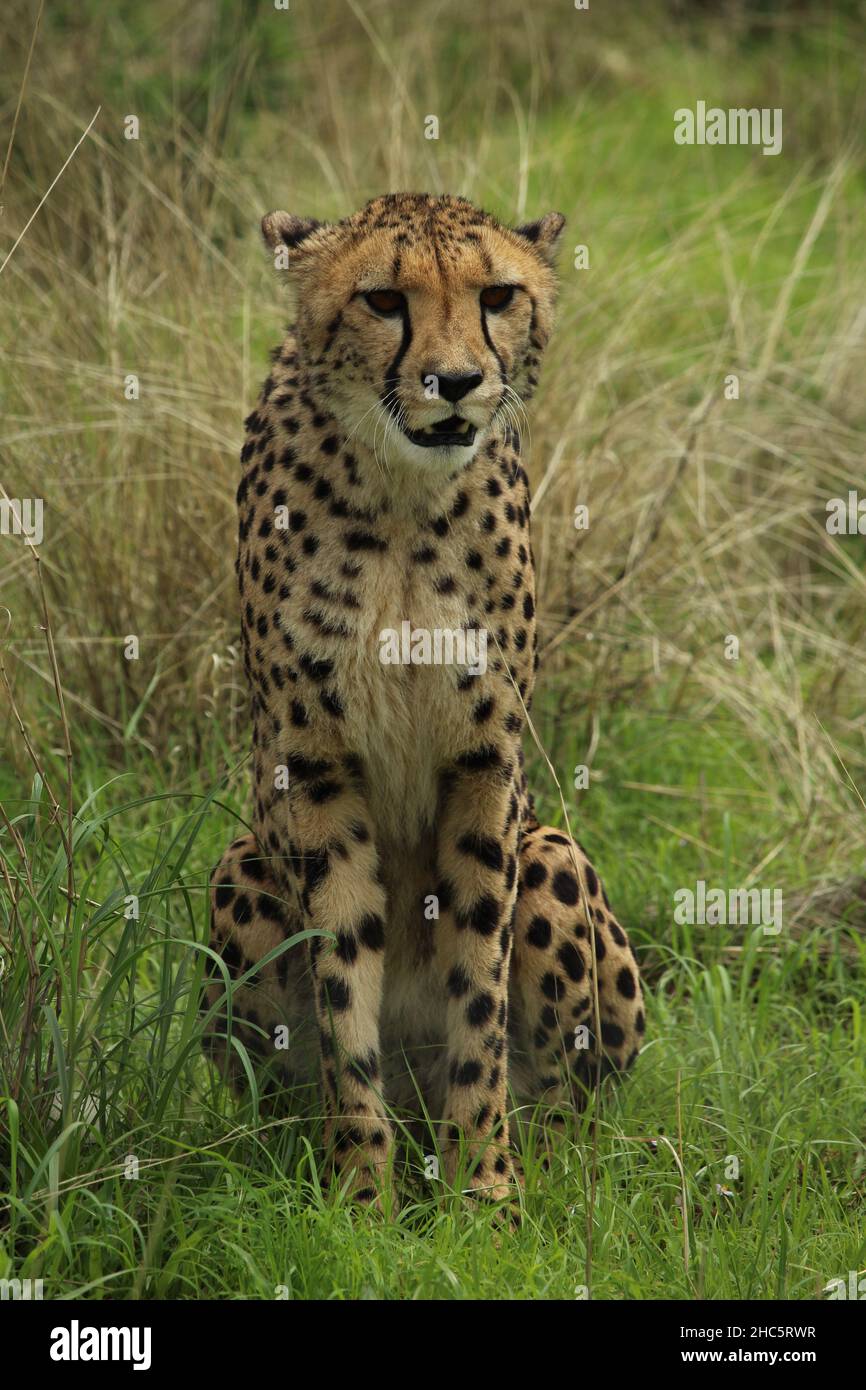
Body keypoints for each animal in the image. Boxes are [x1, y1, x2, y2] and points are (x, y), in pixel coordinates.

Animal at [202, 192, 645, 1208]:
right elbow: (340, 990)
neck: (401, 494)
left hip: (554, 855)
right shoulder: (314, 772)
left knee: (567, 1099)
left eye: (498, 295)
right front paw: (362, 1197)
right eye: (382, 300)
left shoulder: (486, 762)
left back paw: (545, 1162)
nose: (456, 382)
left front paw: (484, 1191)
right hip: (241, 868)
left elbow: (477, 989)